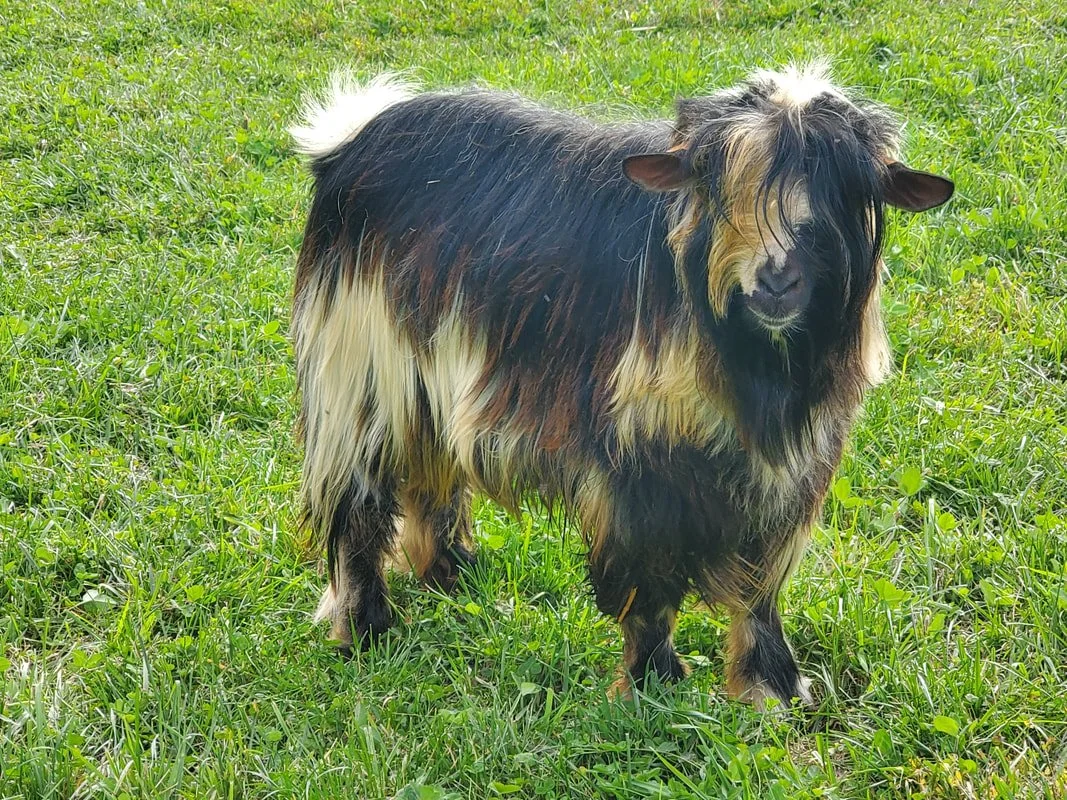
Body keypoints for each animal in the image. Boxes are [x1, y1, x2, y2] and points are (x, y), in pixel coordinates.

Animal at [289, 65, 953, 708]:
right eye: (718, 187)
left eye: (847, 192)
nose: (776, 283)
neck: (755, 366)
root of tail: (348, 140)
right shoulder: (639, 461)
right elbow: (649, 582)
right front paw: (653, 682)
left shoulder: (790, 471)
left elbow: (761, 584)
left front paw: (773, 687)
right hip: (361, 371)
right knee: (359, 502)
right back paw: (366, 627)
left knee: (434, 473)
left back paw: (454, 576)